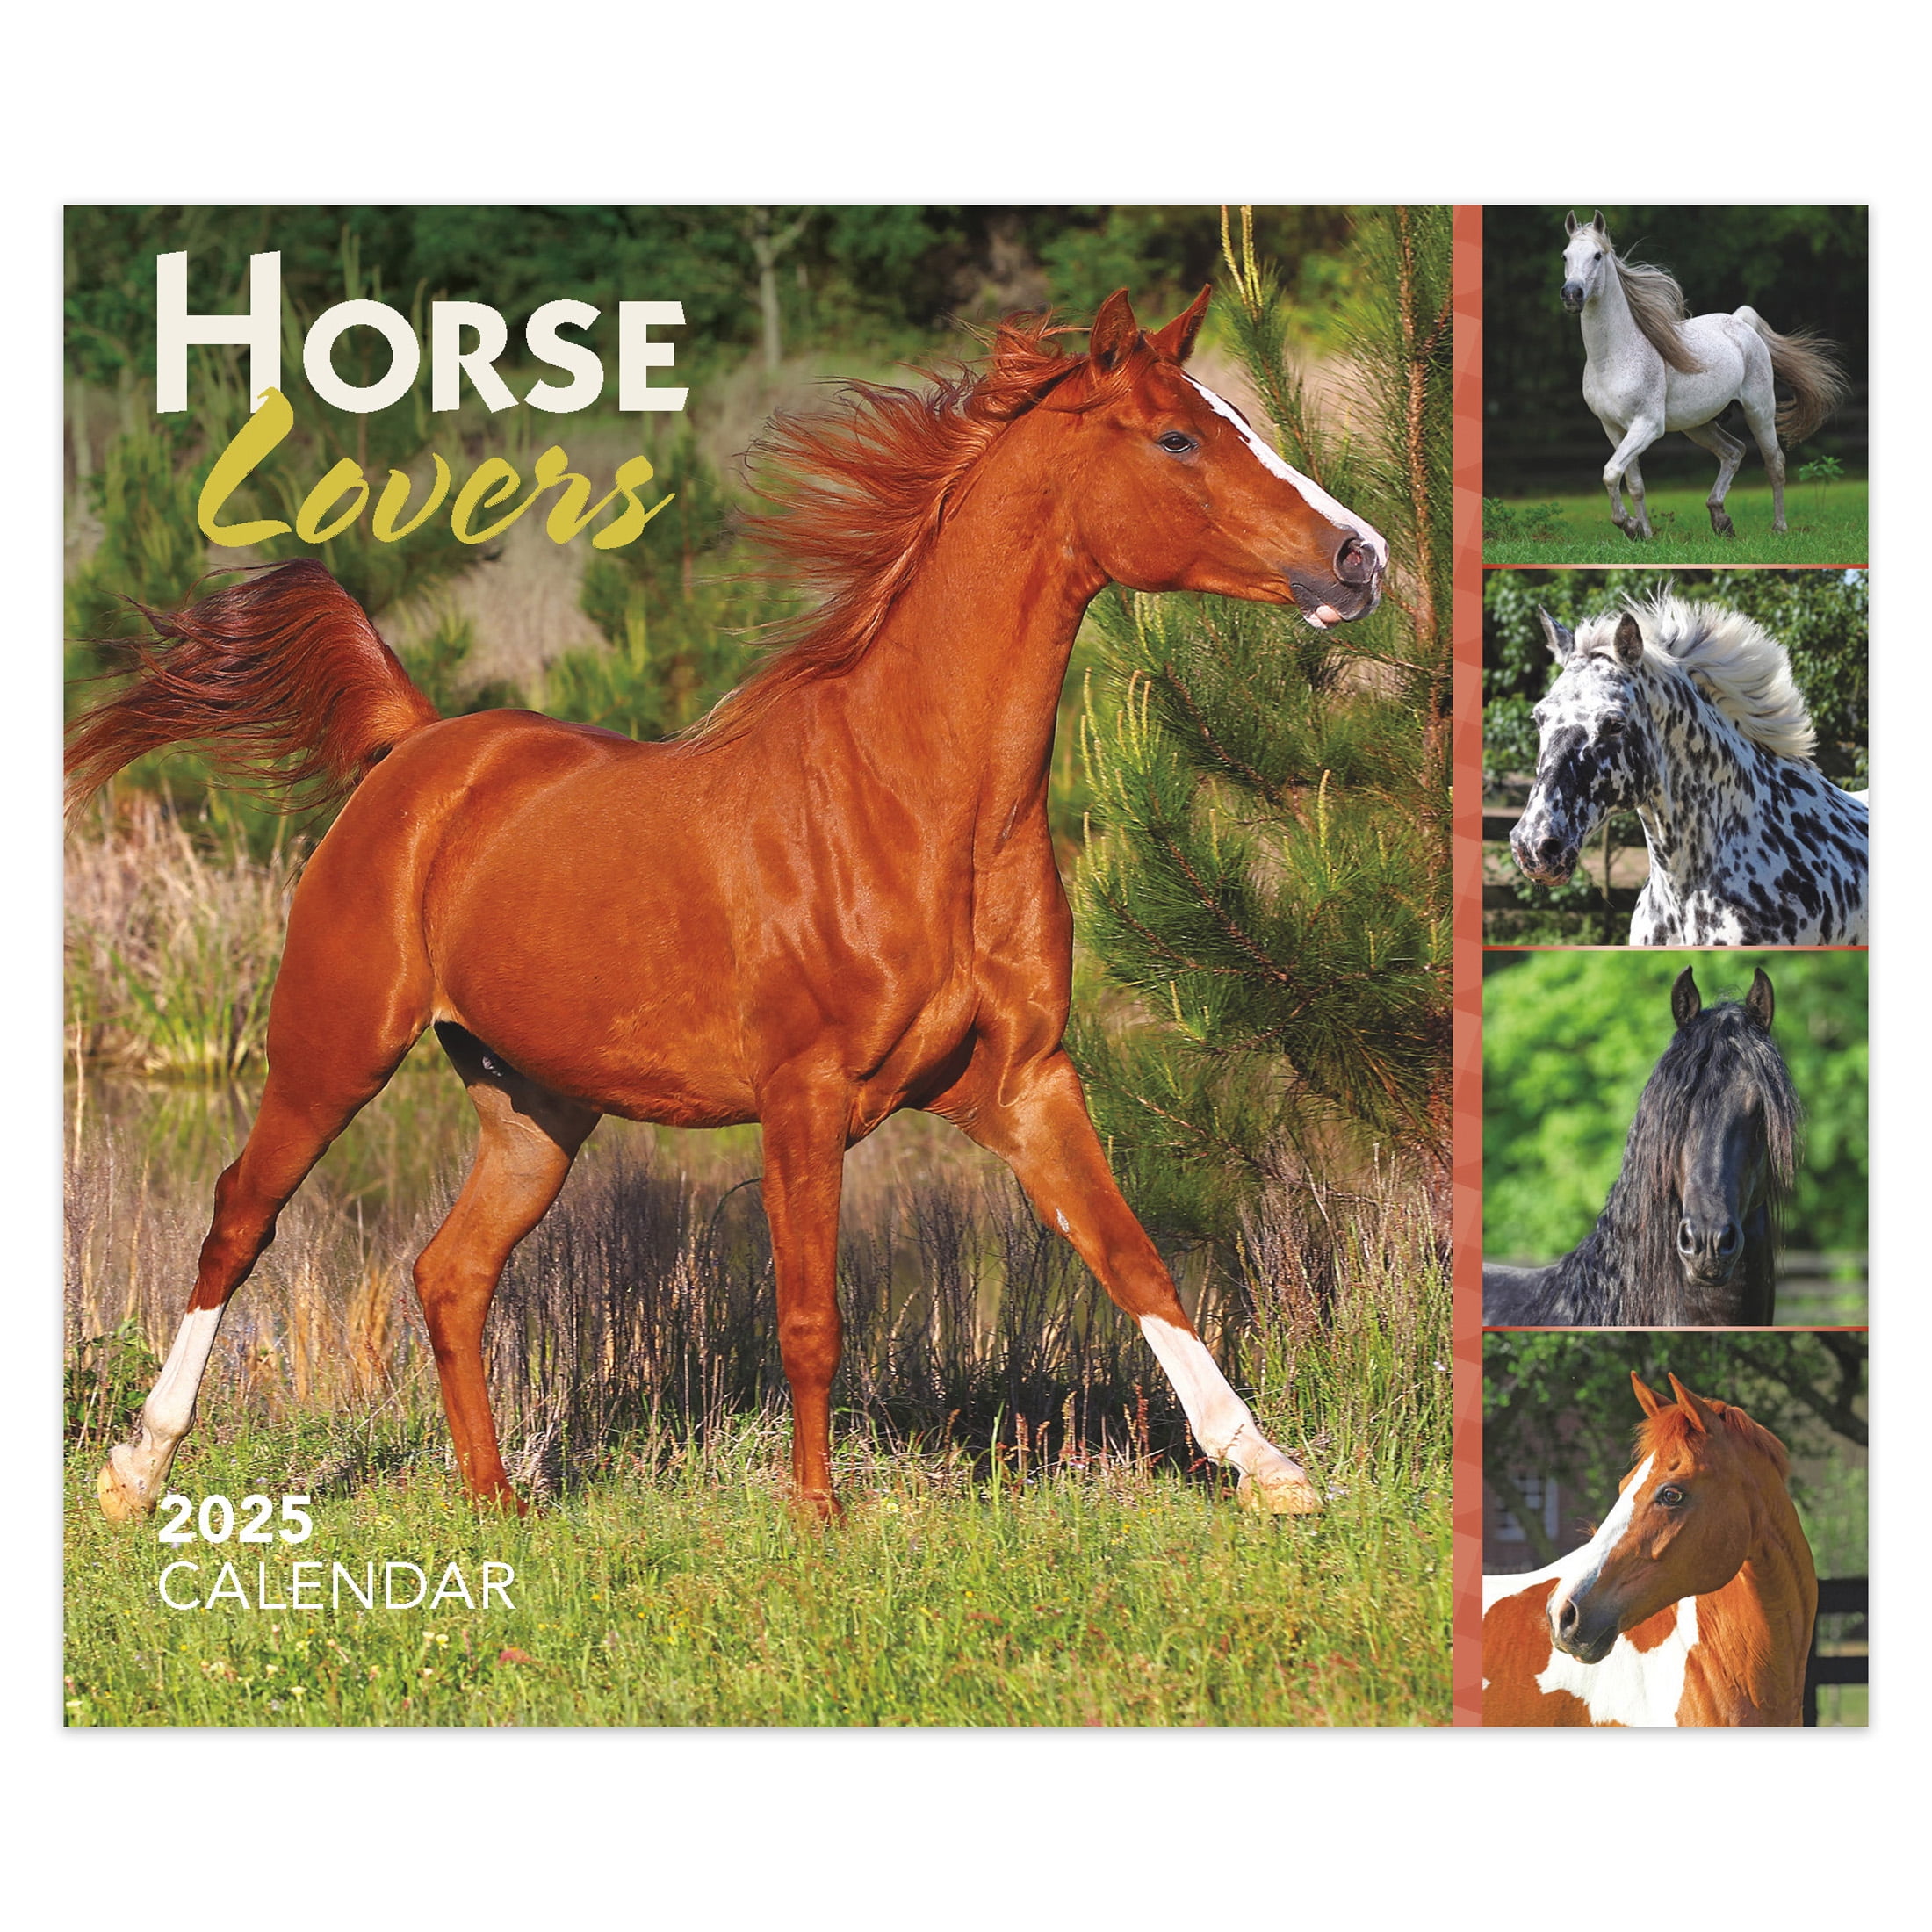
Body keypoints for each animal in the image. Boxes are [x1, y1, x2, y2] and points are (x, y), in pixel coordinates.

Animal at [69, 287, 1389, 1525]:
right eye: (1176, 437)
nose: (1361, 558)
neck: (916, 805)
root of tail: (418, 746)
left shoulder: (1025, 1082)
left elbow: (1137, 1260)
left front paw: (1273, 1473)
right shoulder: (803, 1097)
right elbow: (812, 1317)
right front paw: (816, 1514)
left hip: (533, 1108)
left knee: (450, 1271)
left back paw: (497, 1498)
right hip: (331, 1049)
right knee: (239, 1222)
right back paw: (136, 1473)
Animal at [1558, 210, 1847, 542]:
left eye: (1597, 255)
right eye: (1565, 255)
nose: (1572, 294)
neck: (1613, 358)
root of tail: (1739, 321)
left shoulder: (1647, 425)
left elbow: (1611, 473)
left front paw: (1631, 527)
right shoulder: (1614, 429)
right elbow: (1633, 483)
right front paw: (1644, 534)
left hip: (1759, 411)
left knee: (1774, 462)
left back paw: (1779, 528)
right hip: (1698, 425)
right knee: (1734, 451)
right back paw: (1721, 519)